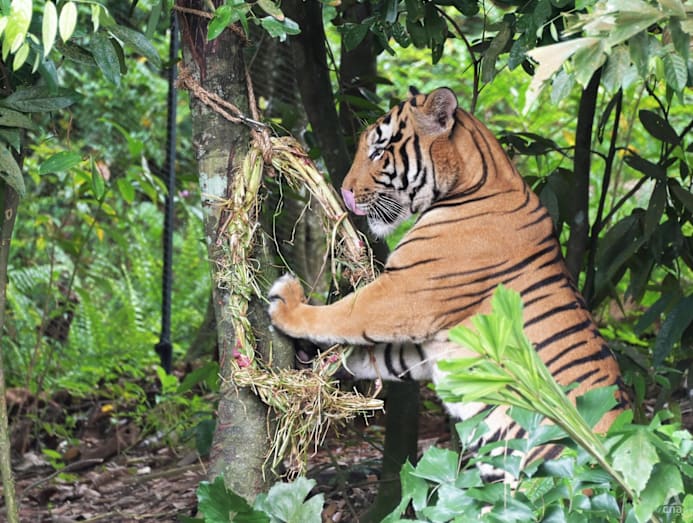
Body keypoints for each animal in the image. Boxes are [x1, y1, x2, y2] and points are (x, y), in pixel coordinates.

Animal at [268, 87, 627, 469]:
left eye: (378, 151)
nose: (345, 191)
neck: (475, 181)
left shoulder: (404, 294)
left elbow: (343, 314)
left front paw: (287, 304)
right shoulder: (424, 344)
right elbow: (370, 353)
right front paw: (309, 353)